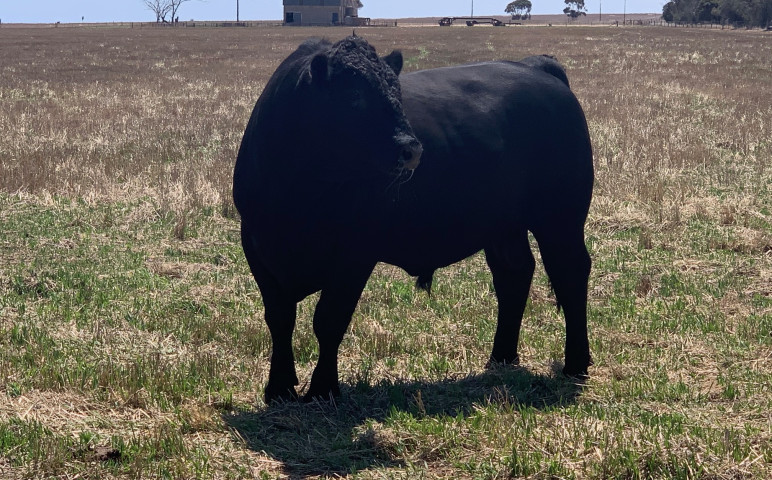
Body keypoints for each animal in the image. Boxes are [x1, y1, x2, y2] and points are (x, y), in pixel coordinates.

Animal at [233, 36, 594, 404]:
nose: (411, 149)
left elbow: (330, 319)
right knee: (514, 275)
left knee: (570, 273)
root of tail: (535, 67)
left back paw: (576, 363)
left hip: (560, 218)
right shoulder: (256, 246)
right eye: (353, 94)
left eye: (397, 92)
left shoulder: (355, 253)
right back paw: (500, 358)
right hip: (504, 227)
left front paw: (323, 389)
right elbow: (279, 319)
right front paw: (278, 388)